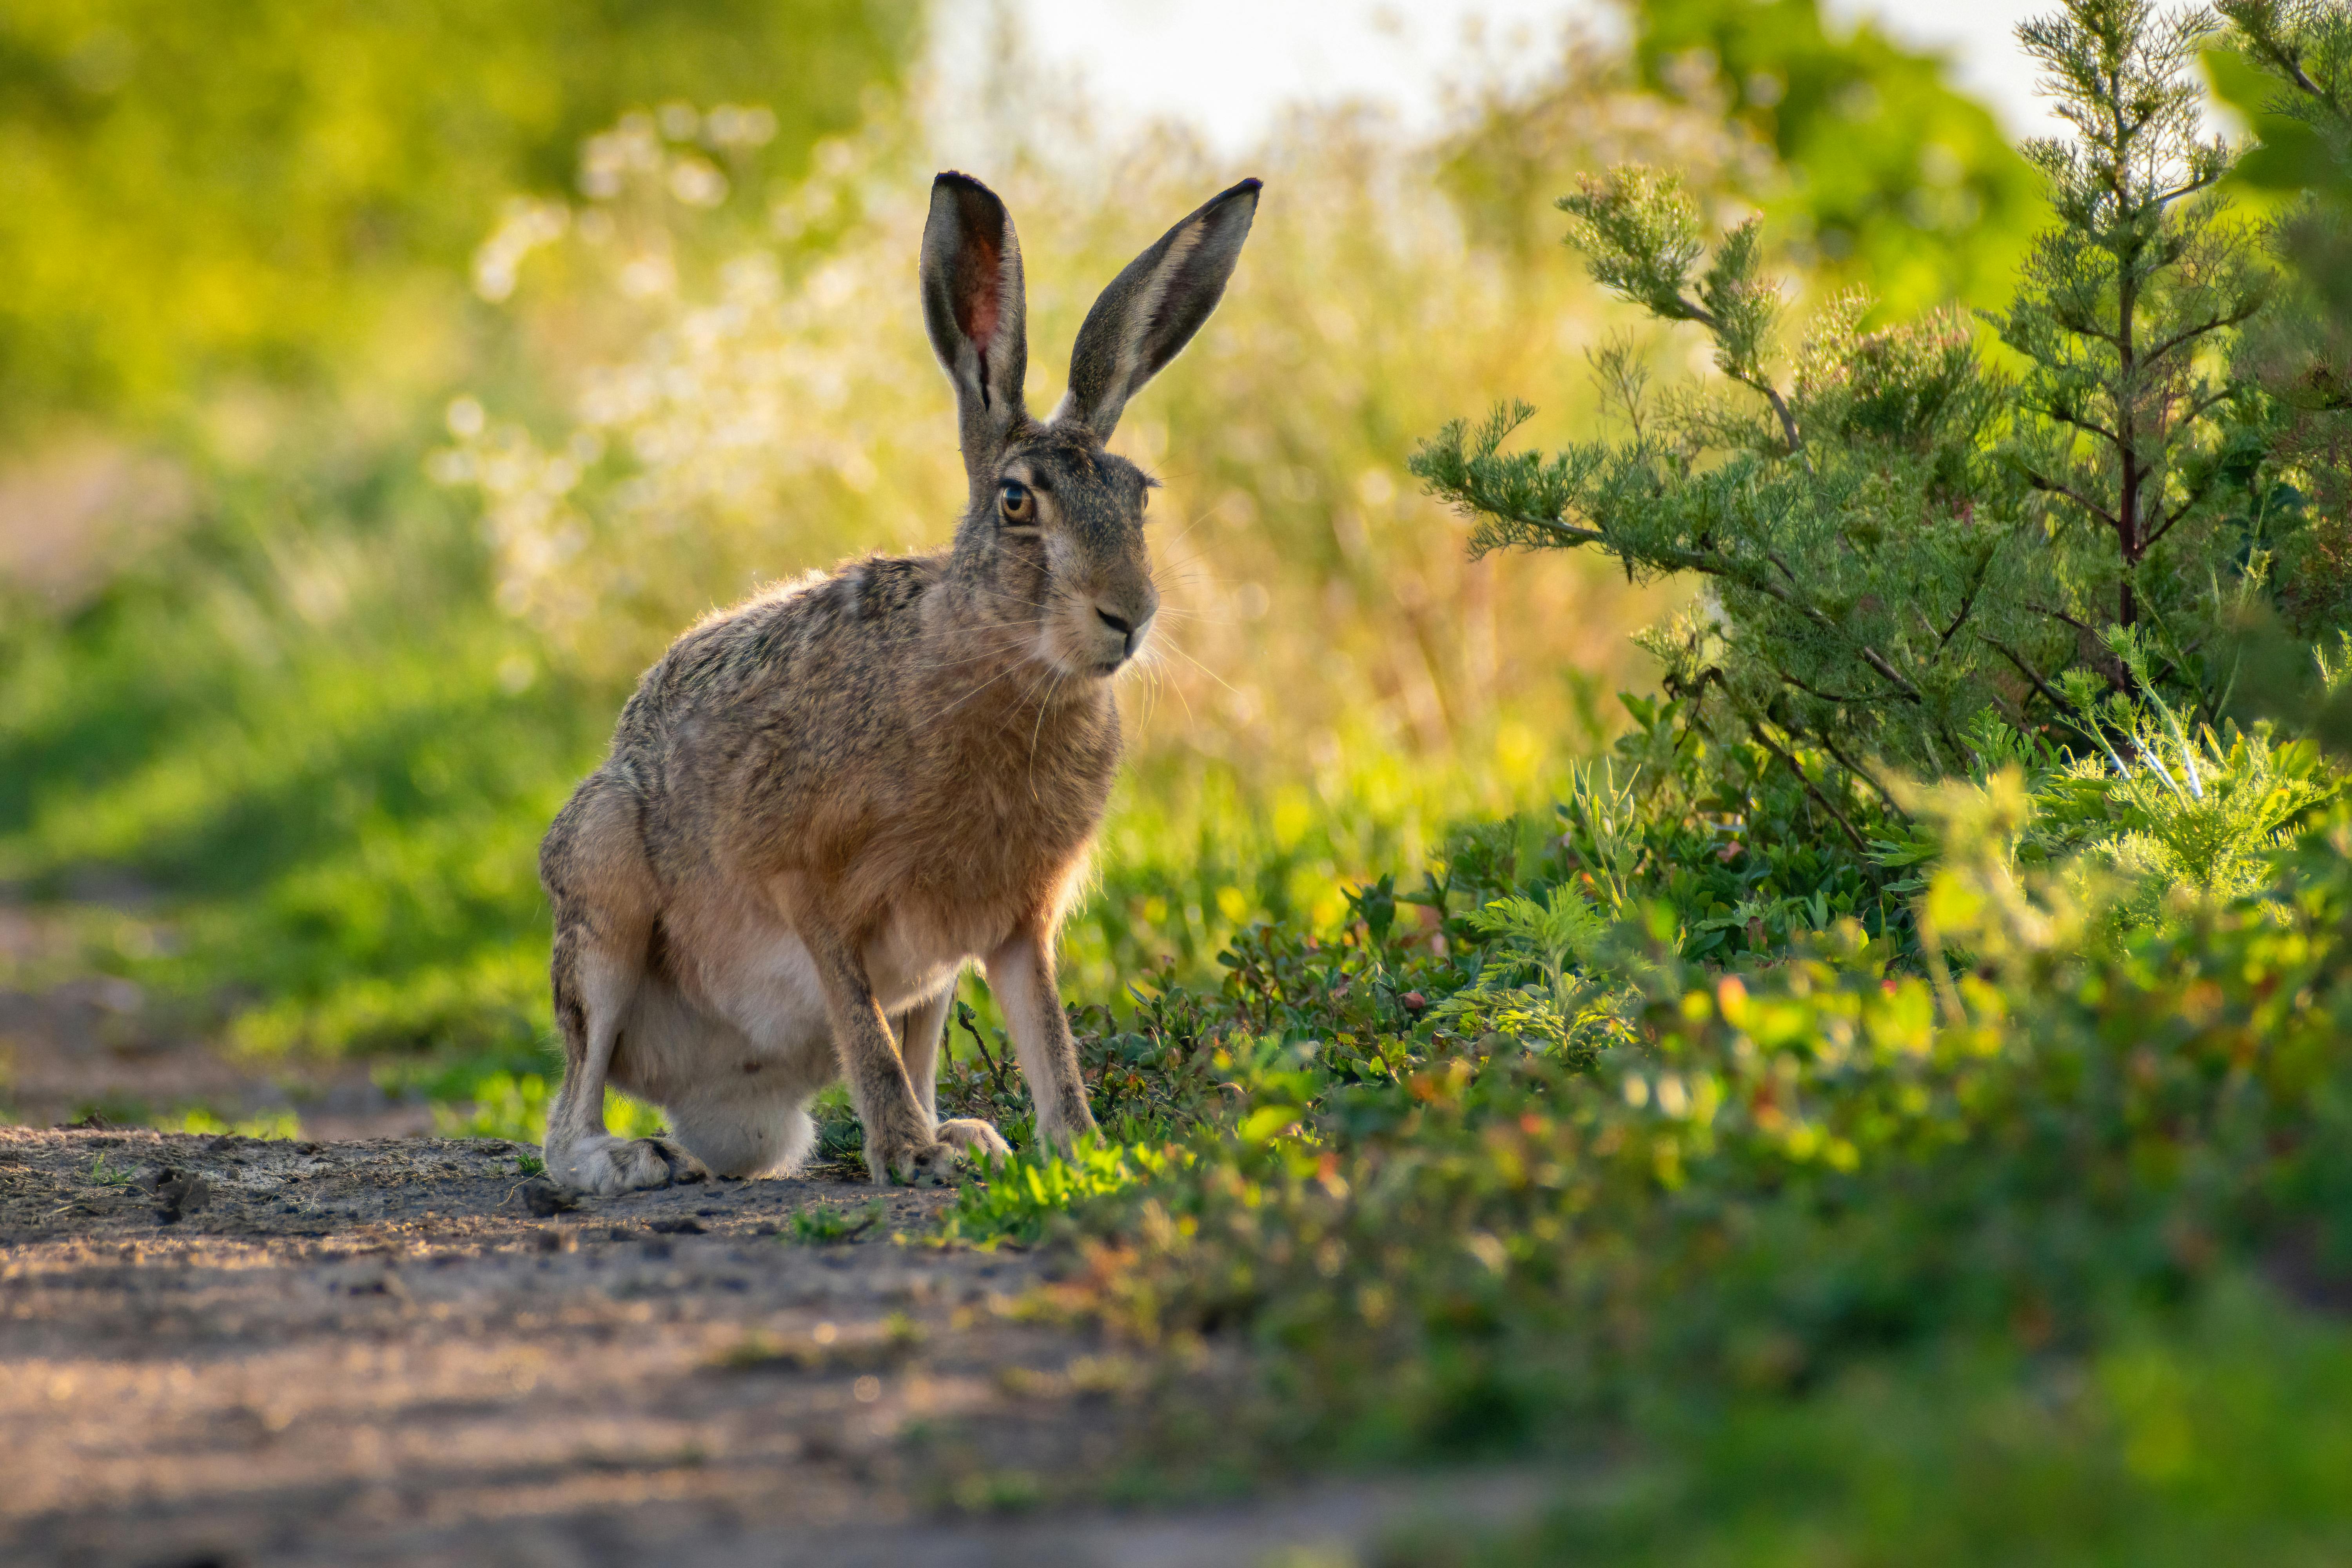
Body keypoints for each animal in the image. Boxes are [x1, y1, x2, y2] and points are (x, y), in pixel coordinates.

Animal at [535, 170, 1261, 1193]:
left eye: (1139, 497)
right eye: (1016, 501)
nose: (1130, 615)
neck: (994, 662)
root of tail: (734, 1114)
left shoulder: (1012, 921)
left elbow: (1048, 1037)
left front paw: (1085, 1150)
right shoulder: (806, 883)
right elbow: (861, 1027)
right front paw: (907, 1156)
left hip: (932, 973)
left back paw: (963, 1134)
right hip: (603, 890)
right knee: (571, 1100)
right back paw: (629, 1158)